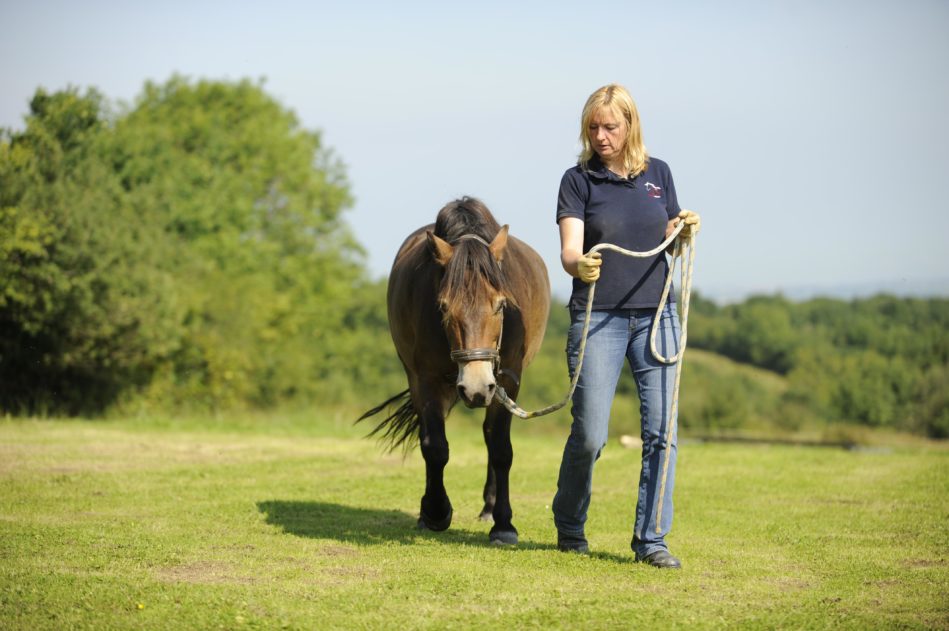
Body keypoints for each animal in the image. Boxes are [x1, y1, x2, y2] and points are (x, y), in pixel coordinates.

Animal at [359, 197, 550, 545]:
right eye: (444, 306)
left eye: (501, 304)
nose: (475, 388)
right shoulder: (426, 380)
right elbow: (434, 446)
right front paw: (435, 512)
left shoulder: (507, 380)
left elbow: (500, 449)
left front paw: (503, 523)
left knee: (489, 435)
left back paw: (489, 508)